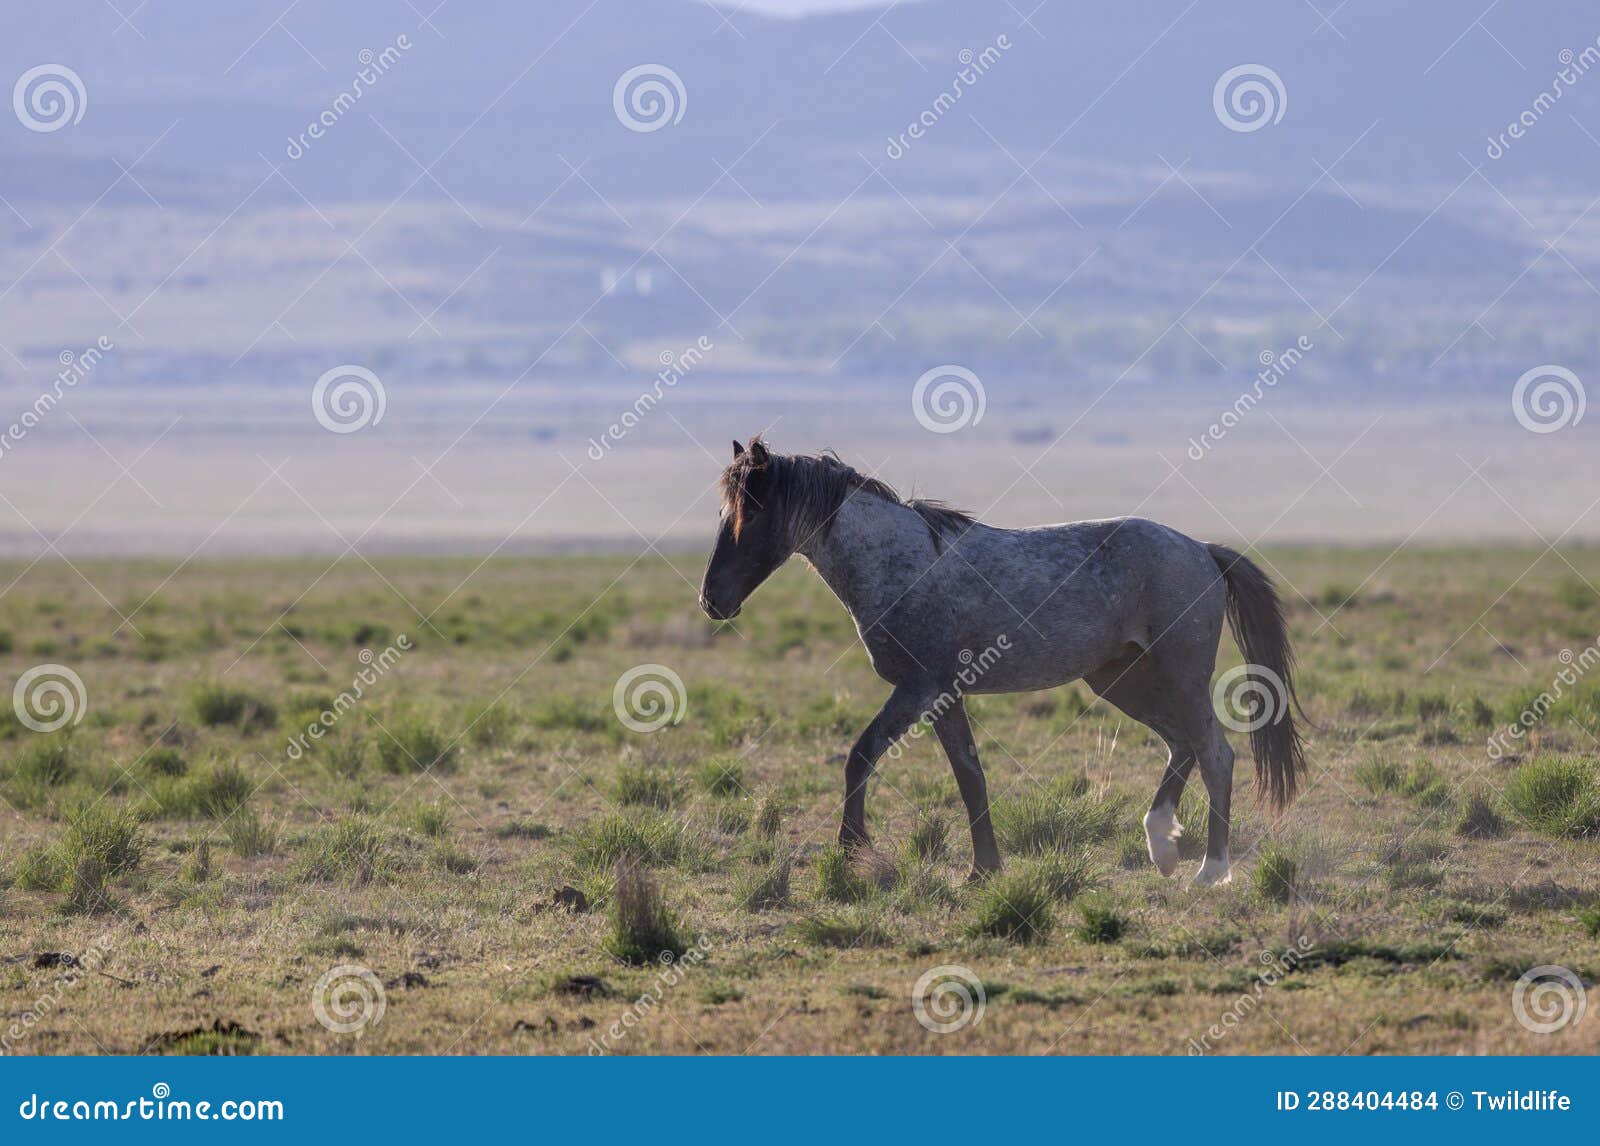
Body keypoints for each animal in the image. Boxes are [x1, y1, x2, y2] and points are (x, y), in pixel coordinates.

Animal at [698, 436, 1307, 887]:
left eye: (753, 511)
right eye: (724, 510)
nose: (712, 600)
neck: (899, 563)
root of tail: (1203, 550)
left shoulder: (918, 689)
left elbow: (861, 755)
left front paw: (852, 852)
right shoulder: (944, 697)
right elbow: (971, 776)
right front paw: (983, 869)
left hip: (1181, 677)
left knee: (1215, 753)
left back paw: (1210, 870)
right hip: (1119, 680)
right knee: (1182, 745)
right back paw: (1161, 846)